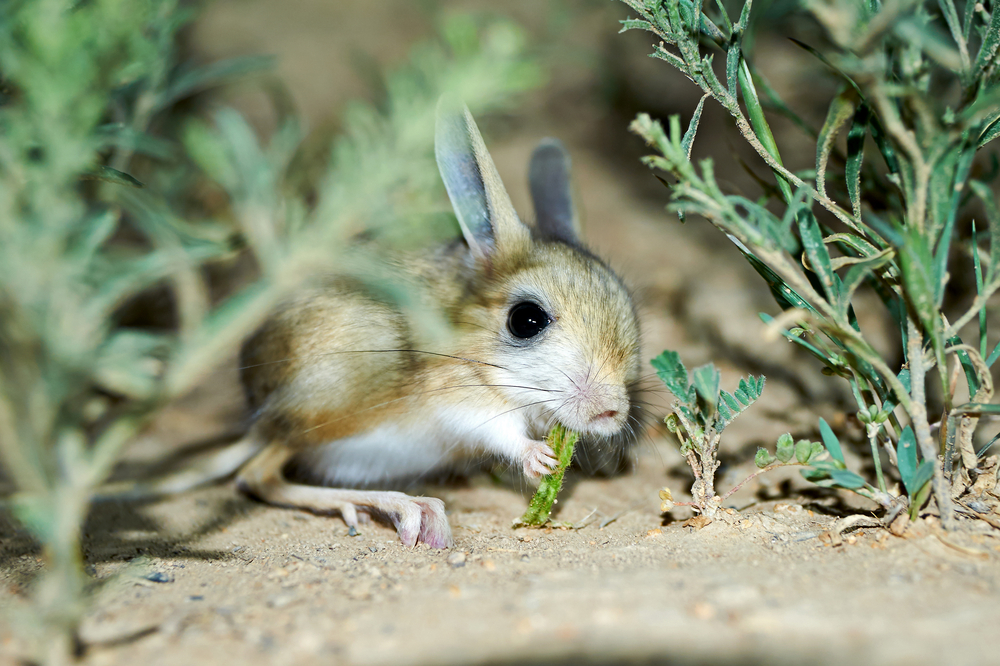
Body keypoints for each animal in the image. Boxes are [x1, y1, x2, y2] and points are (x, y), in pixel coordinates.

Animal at [234, 100, 642, 548]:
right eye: (526, 320)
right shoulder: (458, 396)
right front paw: (538, 457)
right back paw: (408, 507)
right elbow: (501, 431)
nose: (611, 413)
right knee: (255, 476)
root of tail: (258, 418)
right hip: (331, 404)